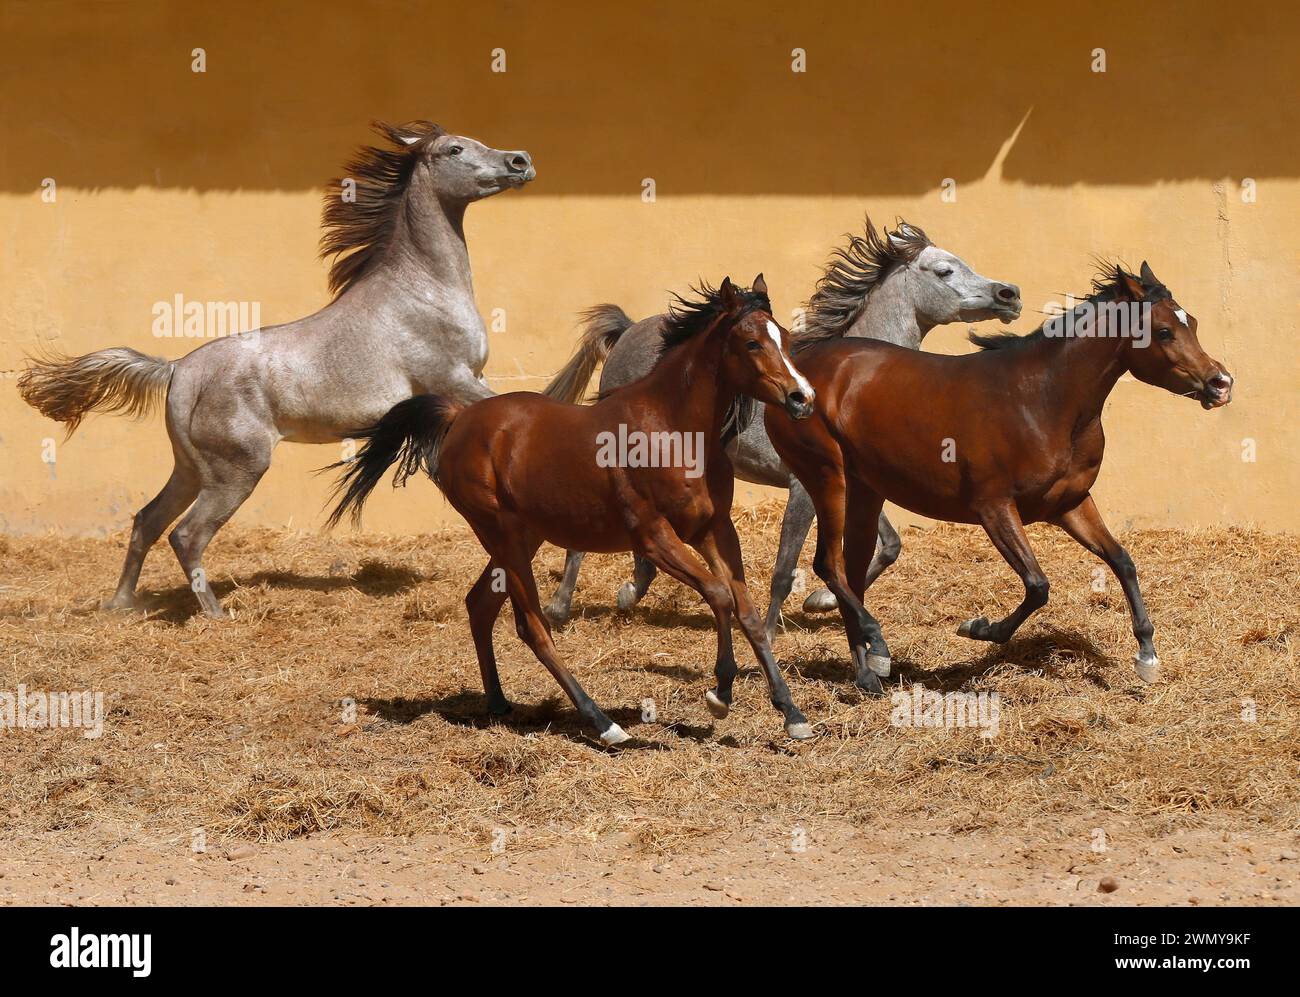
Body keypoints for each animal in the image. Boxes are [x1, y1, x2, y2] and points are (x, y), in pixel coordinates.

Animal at [17, 120, 535, 619]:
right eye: (454, 149)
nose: (521, 160)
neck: (422, 289)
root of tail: (179, 371)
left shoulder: (468, 381)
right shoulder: (454, 379)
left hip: (190, 469)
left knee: (147, 520)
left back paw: (121, 605)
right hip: (236, 471)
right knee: (186, 534)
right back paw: (217, 614)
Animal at [327, 277, 817, 746]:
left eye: (786, 337)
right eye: (751, 342)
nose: (802, 397)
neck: (671, 429)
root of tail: (458, 418)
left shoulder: (714, 528)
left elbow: (747, 611)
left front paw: (792, 715)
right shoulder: (654, 537)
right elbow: (718, 594)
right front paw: (720, 694)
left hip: (524, 535)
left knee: (480, 604)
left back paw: (499, 702)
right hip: (502, 534)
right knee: (532, 627)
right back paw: (604, 724)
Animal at [540, 218, 1022, 639]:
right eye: (944, 270)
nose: (1009, 293)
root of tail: (627, 332)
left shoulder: (851, 481)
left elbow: (888, 545)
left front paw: (821, 602)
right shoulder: (801, 489)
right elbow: (784, 569)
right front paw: (770, 633)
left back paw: (630, 590)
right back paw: (561, 606)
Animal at [764, 262, 1233, 695]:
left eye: (1192, 323)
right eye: (1164, 331)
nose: (1221, 383)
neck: (1043, 400)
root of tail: (796, 376)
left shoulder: (1070, 504)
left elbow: (1121, 560)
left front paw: (1147, 655)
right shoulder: (994, 508)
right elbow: (1038, 585)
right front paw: (978, 628)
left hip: (865, 491)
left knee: (851, 570)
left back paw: (869, 671)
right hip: (825, 479)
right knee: (828, 564)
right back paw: (874, 652)